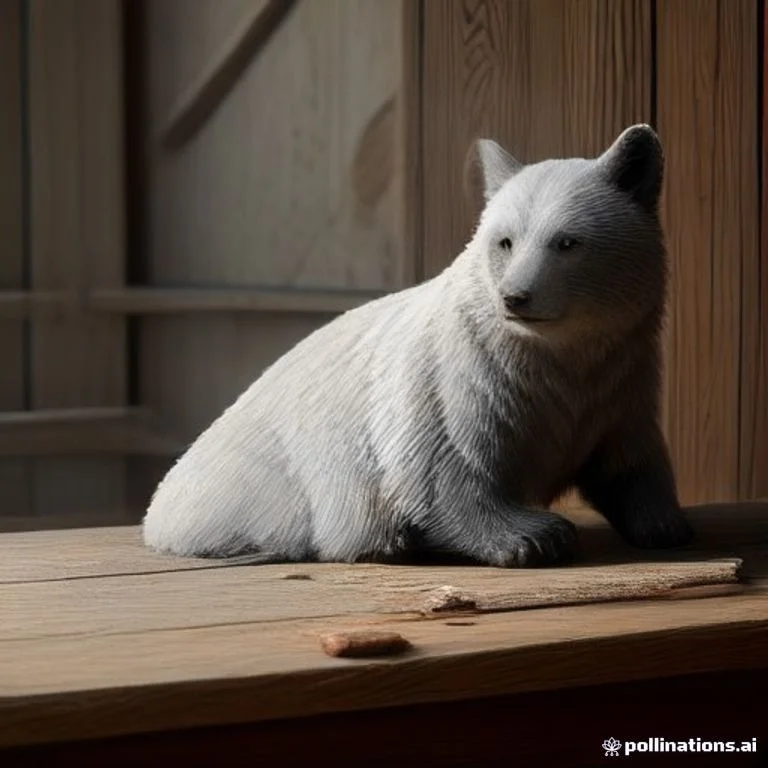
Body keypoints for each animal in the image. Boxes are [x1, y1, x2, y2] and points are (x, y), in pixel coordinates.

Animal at [142, 123, 694, 567]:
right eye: (505, 240)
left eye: (567, 242)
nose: (515, 297)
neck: (549, 350)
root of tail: (160, 515)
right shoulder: (463, 374)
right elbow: (444, 464)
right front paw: (535, 536)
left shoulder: (621, 371)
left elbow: (628, 454)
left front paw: (665, 523)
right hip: (266, 483)